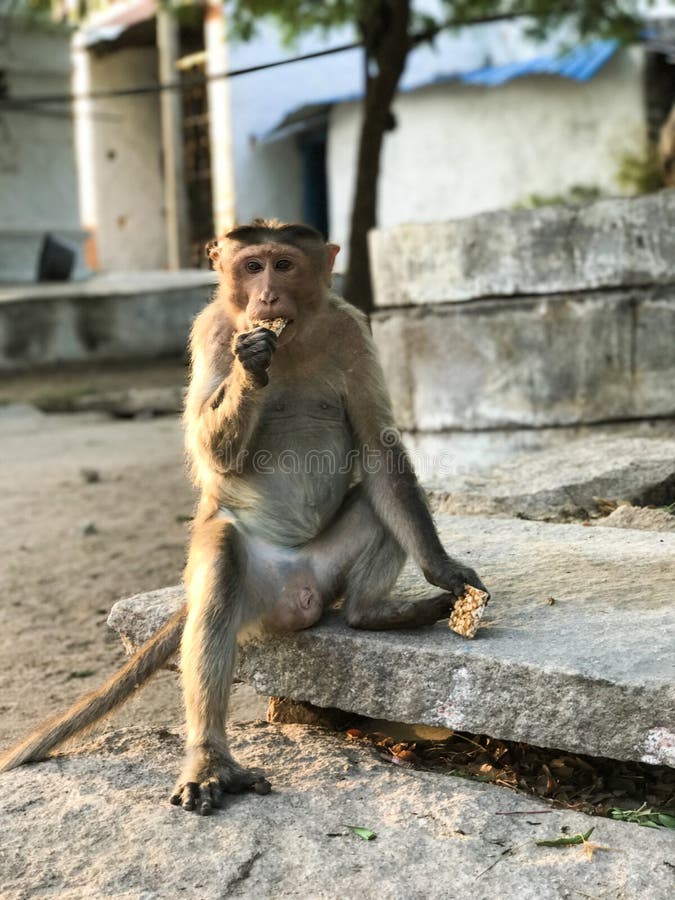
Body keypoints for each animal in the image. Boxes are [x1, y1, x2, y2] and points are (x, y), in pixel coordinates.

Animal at [0, 220, 488, 815]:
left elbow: (379, 452)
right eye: (253, 266)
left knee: (379, 500)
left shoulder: (351, 329)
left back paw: (370, 613)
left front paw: (444, 570)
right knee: (221, 571)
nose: (267, 297)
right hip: (256, 593)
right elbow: (212, 451)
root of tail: (299, 594)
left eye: (283, 264)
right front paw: (251, 365)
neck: (293, 338)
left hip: (326, 572)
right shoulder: (212, 330)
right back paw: (211, 760)